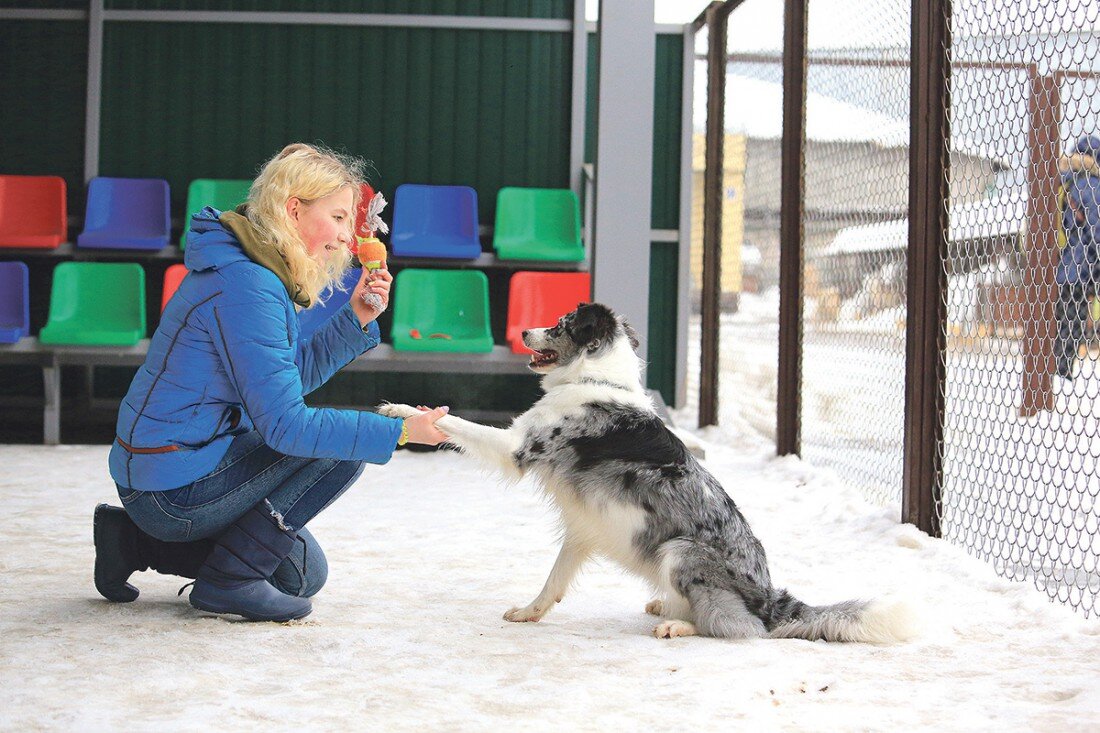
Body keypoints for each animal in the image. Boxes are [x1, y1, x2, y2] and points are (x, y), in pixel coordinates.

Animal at [382, 301, 915, 638]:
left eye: (560, 323)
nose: (523, 332)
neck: (595, 380)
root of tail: (771, 597)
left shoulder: (515, 447)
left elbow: (454, 422)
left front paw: (403, 412)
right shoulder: (583, 527)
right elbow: (553, 582)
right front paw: (530, 613)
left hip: (680, 552)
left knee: (740, 628)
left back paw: (678, 623)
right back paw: (666, 605)